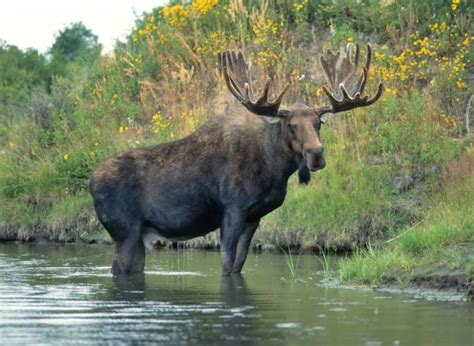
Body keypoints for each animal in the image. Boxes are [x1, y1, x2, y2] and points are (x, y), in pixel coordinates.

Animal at [90, 43, 384, 276]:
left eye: (318, 123)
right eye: (291, 126)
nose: (317, 155)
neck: (274, 170)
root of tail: (90, 182)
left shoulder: (255, 216)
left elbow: (238, 265)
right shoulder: (233, 209)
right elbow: (226, 264)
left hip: (138, 236)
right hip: (124, 231)